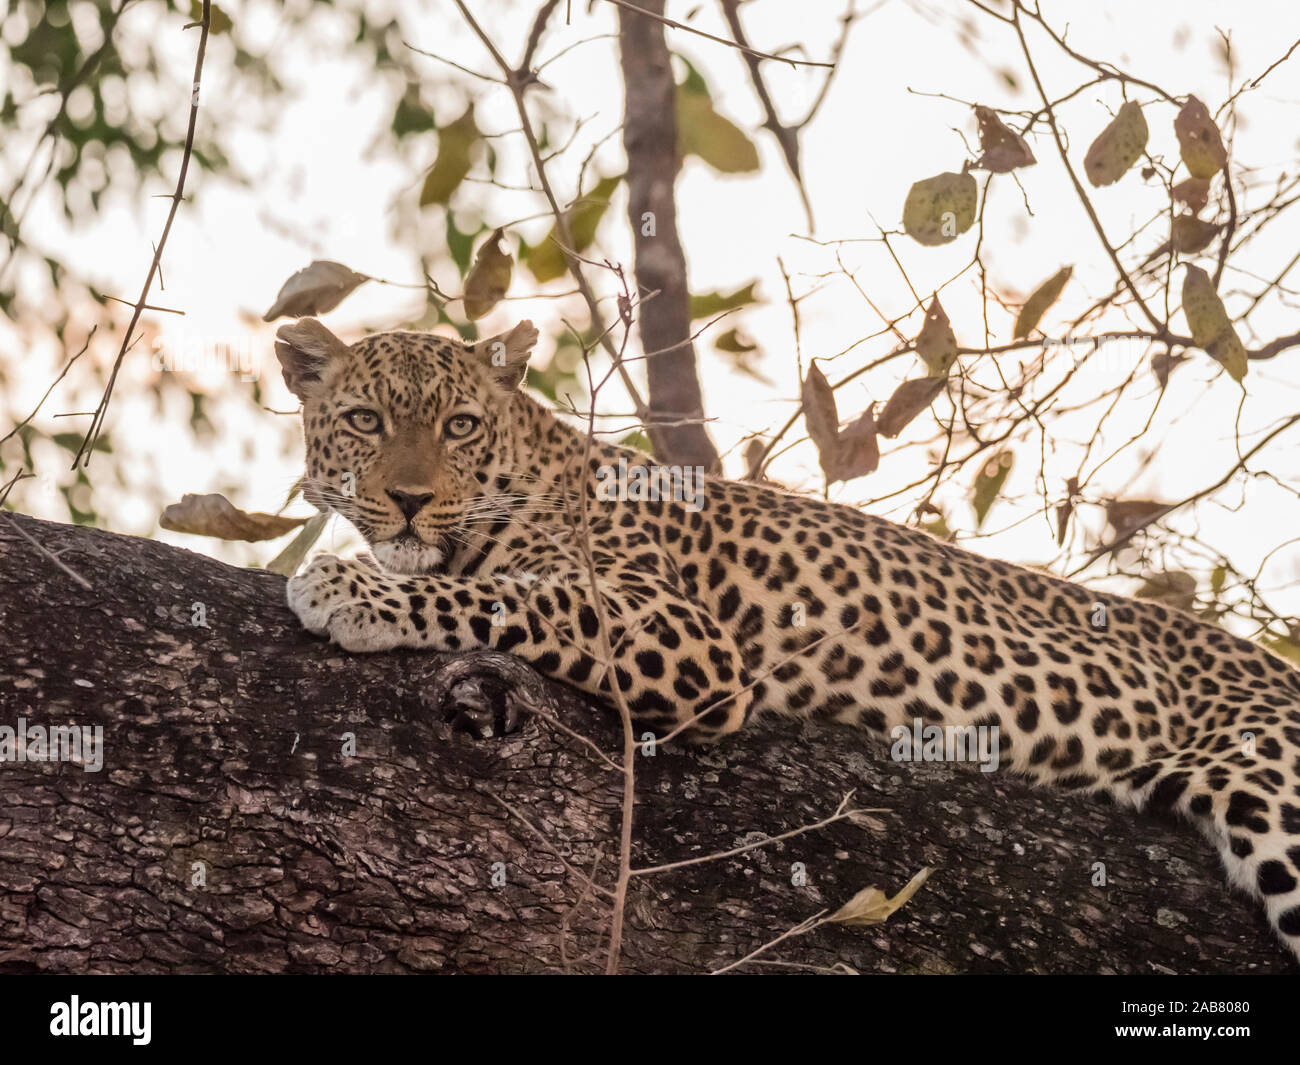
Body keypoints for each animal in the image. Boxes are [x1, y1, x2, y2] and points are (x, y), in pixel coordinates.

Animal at [276, 315, 1300, 964]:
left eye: (459, 425)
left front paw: (350, 584)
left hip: (1274, 789)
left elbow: (504, 591)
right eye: (365, 421)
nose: (411, 498)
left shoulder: (680, 630)